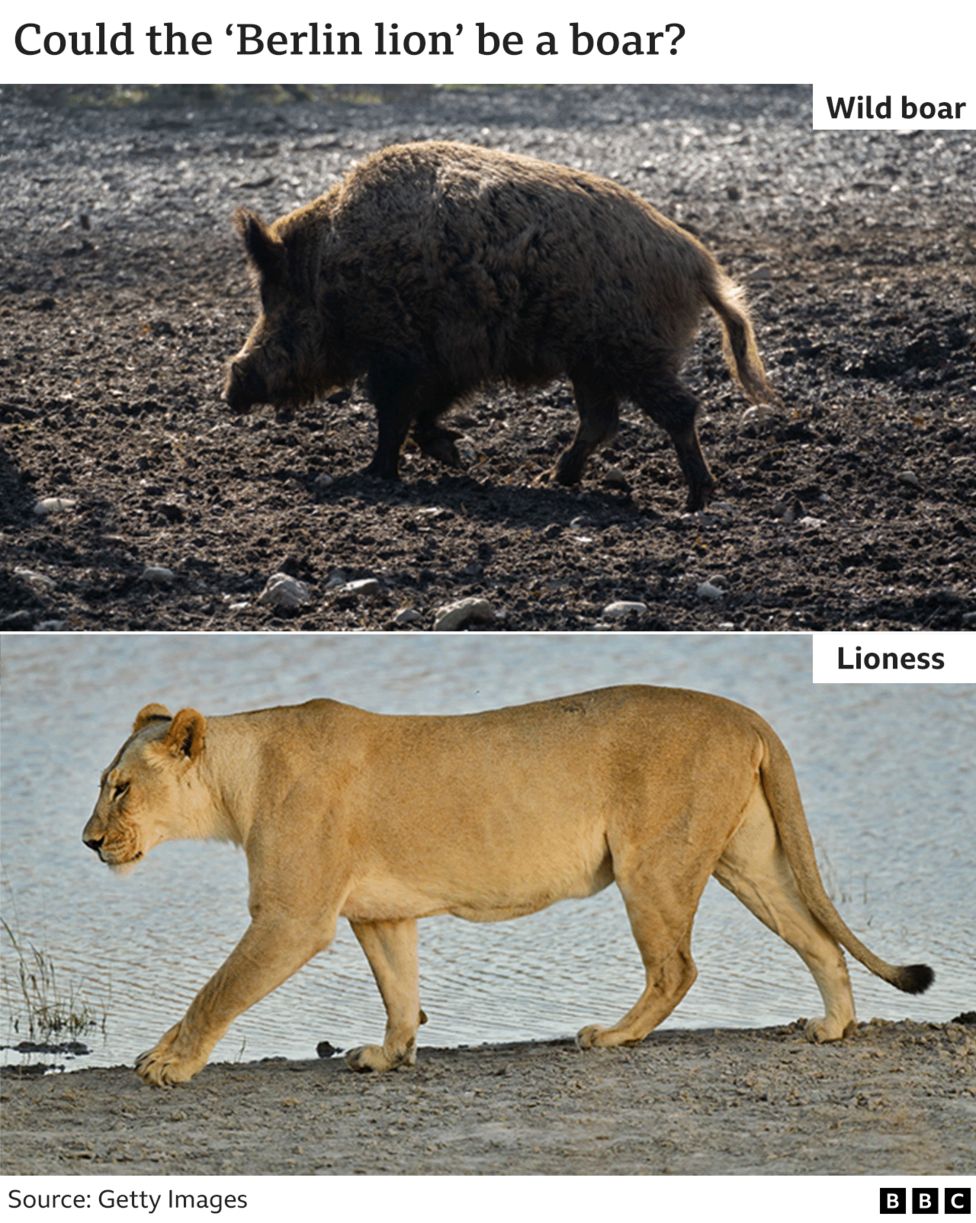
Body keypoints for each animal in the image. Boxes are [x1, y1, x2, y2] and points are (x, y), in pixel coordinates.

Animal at [82, 687, 933, 1087]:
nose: (89, 841)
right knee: (817, 935)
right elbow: (400, 989)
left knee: (677, 966)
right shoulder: (380, 913)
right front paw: (388, 1055)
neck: (240, 778)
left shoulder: (293, 916)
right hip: (746, 858)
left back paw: (611, 1035)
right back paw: (834, 1025)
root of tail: (747, 713)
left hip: (652, 863)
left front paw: (167, 1063)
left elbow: (216, 990)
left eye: (120, 788)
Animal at [224, 140, 777, 510]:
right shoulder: (448, 362)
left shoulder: (400, 355)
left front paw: (375, 474)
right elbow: (422, 415)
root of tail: (699, 265)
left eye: (276, 301)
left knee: (679, 410)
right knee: (602, 421)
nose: (229, 390)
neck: (331, 274)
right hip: (591, 362)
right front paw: (454, 457)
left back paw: (696, 499)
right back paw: (553, 480)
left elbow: (393, 417)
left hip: (634, 353)